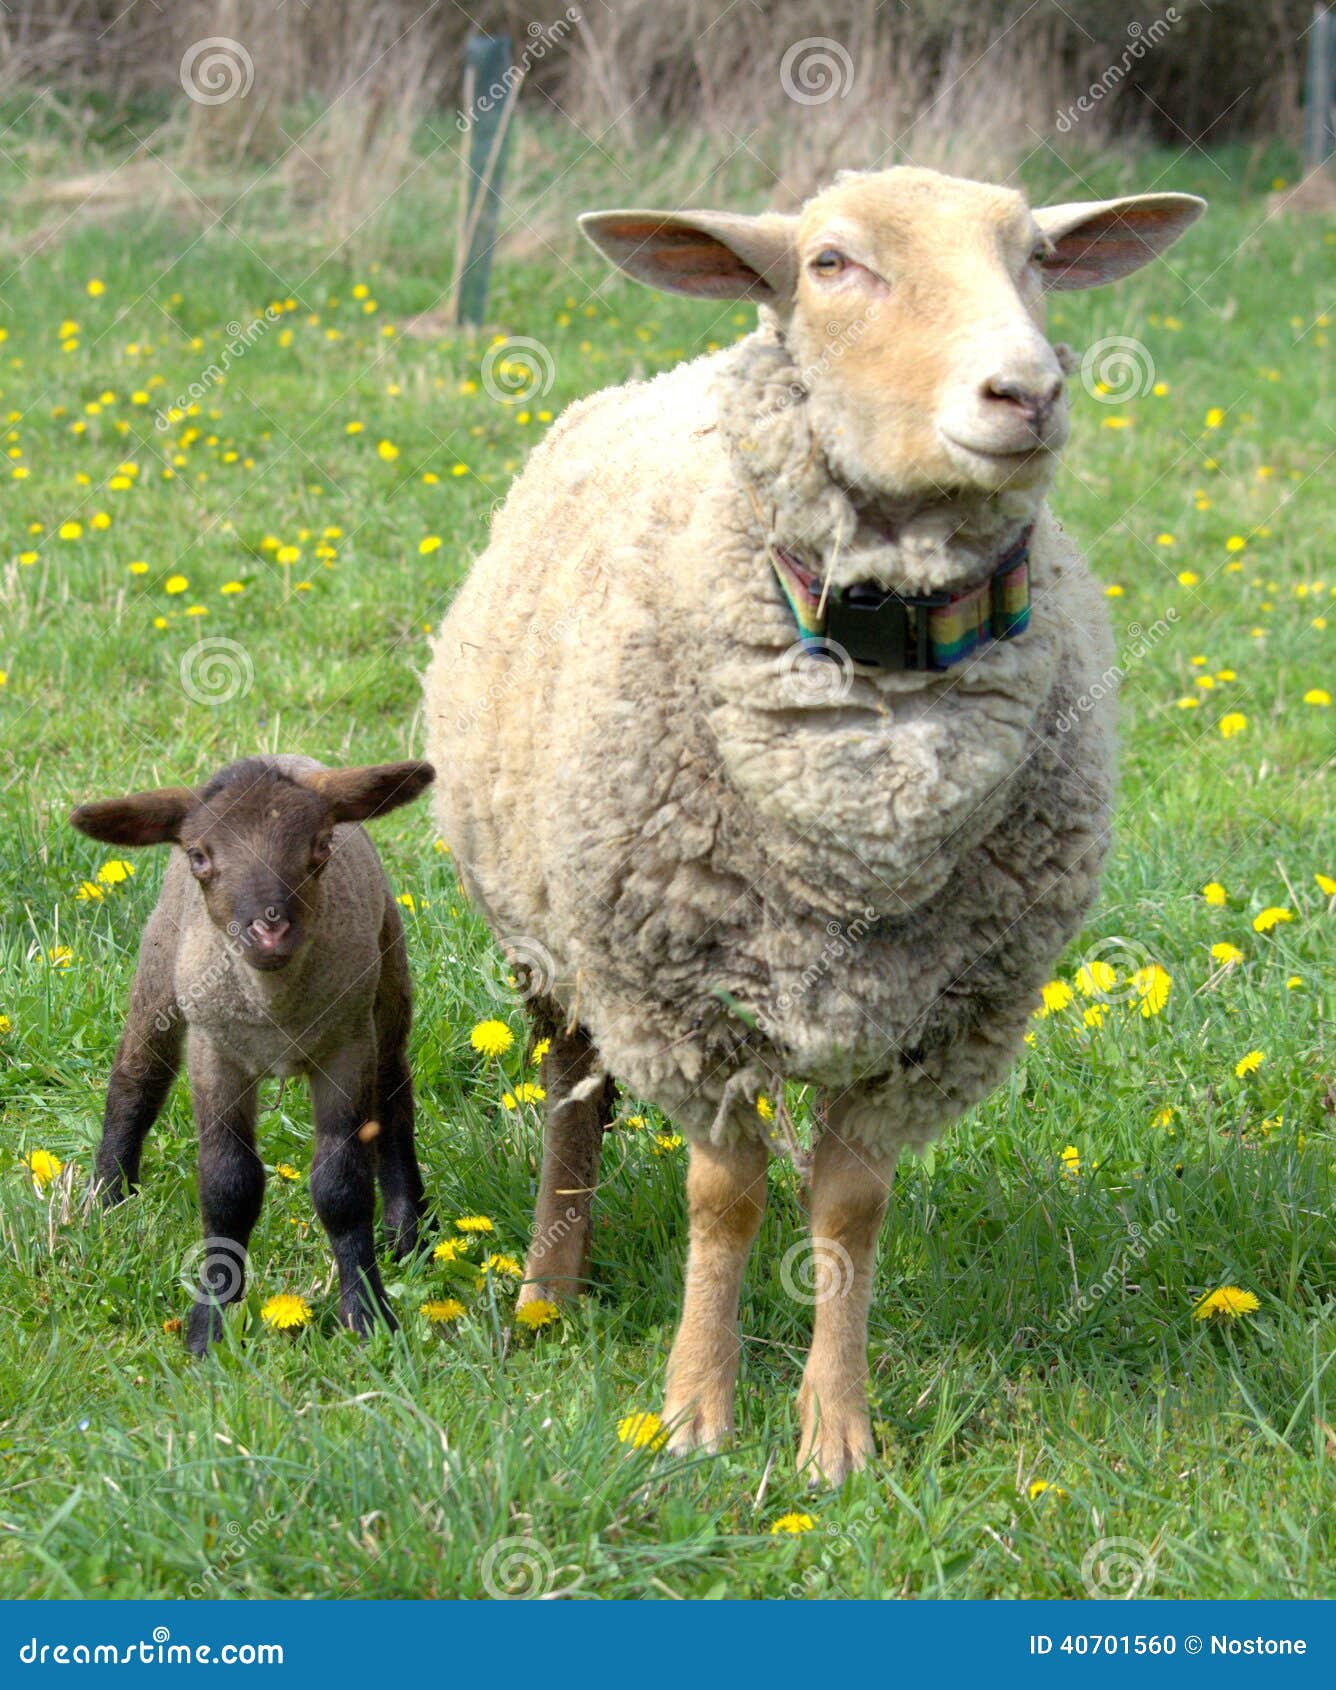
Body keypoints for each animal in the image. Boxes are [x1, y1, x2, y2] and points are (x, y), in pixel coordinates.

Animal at [70, 754, 435, 1353]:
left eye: (321, 846)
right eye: (199, 856)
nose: (269, 930)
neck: (273, 1009)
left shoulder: (346, 1048)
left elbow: (341, 1186)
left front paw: (366, 1313)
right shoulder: (216, 1054)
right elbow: (229, 1183)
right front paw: (209, 1326)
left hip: (386, 979)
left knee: (394, 1097)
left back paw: (408, 1232)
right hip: (161, 969)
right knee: (136, 1078)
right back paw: (107, 1201)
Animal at [423, 166, 1204, 1482]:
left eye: (1038, 255)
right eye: (833, 264)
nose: (1027, 392)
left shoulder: (942, 1021)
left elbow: (846, 1209)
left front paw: (835, 1433)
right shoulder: (677, 1000)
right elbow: (724, 1197)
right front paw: (694, 1411)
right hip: (557, 934)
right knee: (574, 1094)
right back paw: (546, 1290)